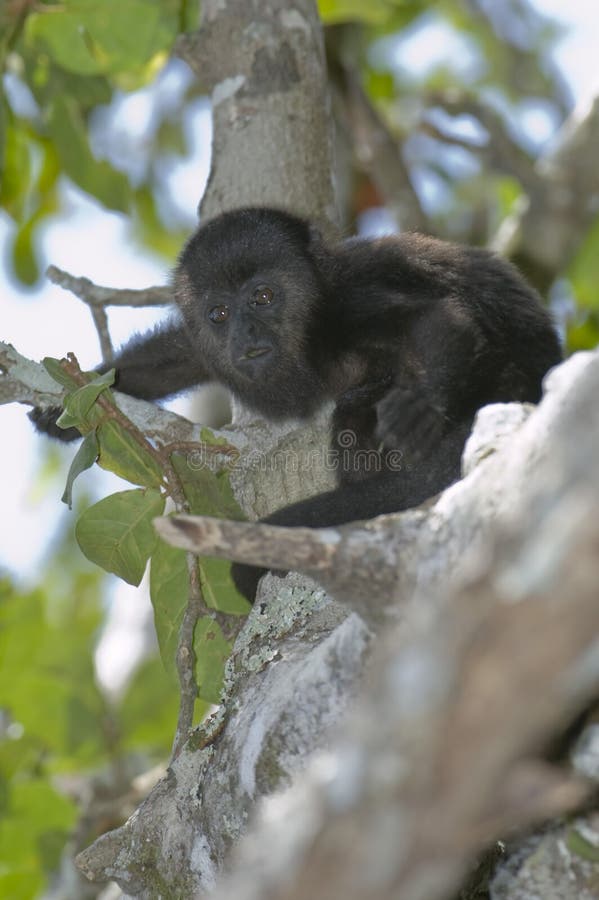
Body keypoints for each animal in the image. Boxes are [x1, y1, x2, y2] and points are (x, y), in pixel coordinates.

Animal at [29, 207, 562, 600]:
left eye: (263, 297)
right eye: (219, 313)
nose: (245, 333)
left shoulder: (347, 304)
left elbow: (437, 319)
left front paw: (422, 408)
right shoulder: (208, 346)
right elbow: (168, 361)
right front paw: (62, 412)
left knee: (356, 409)